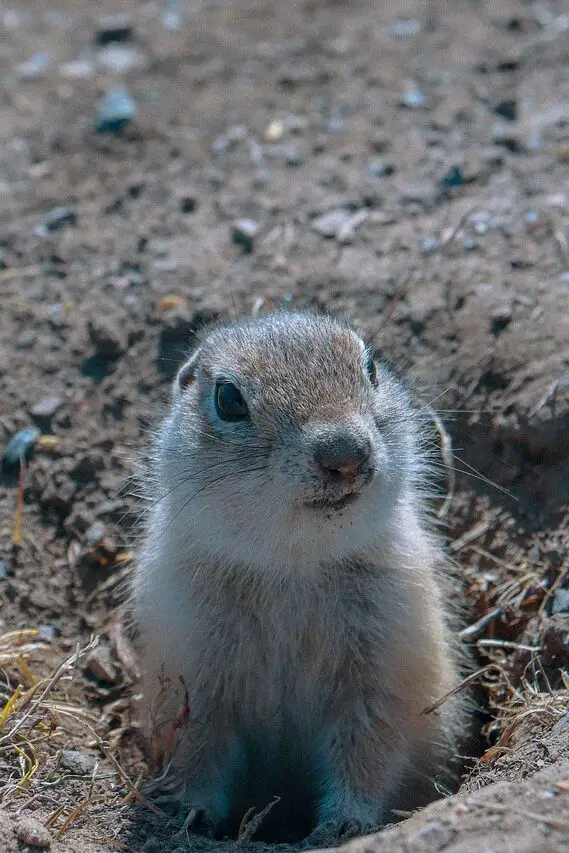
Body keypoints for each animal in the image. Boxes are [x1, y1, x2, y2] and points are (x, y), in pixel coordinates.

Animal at [133, 312, 466, 844]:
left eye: (371, 366)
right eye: (228, 398)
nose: (345, 453)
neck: (293, 565)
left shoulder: (387, 668)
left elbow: (369, 748)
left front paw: (343, 823)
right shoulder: (192, 672)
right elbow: (196, 748)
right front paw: (189, 813)